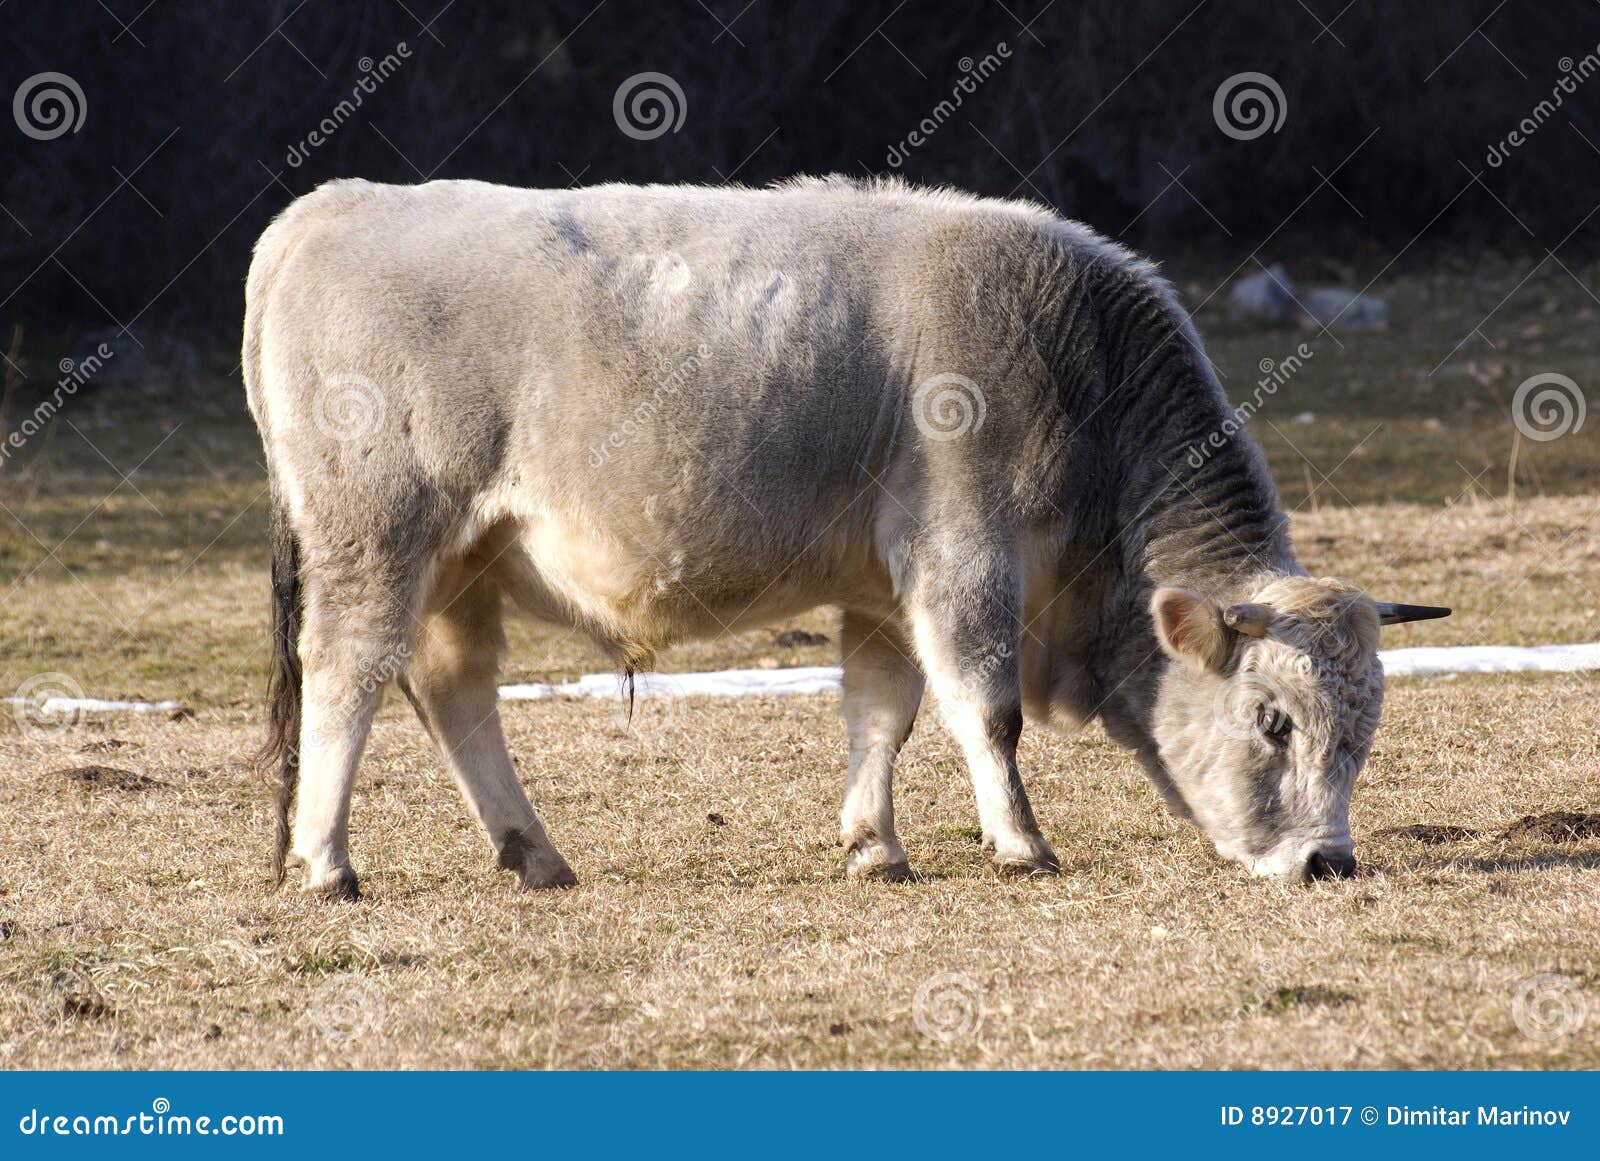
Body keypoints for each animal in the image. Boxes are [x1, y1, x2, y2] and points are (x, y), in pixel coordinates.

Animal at [243, 176, 1446, 899]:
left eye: (1366, 731)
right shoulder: (964, 557)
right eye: (1274, 721)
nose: (1330, 861)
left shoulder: (882, 588)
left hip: (463, 565)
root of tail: (334, 205)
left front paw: (876, 843)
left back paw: (534, 853)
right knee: (349, 673)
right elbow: (985, 706)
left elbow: (883, 710)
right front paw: (1021, 842)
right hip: (378, 539)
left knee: (453, 692)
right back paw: (326, 862)